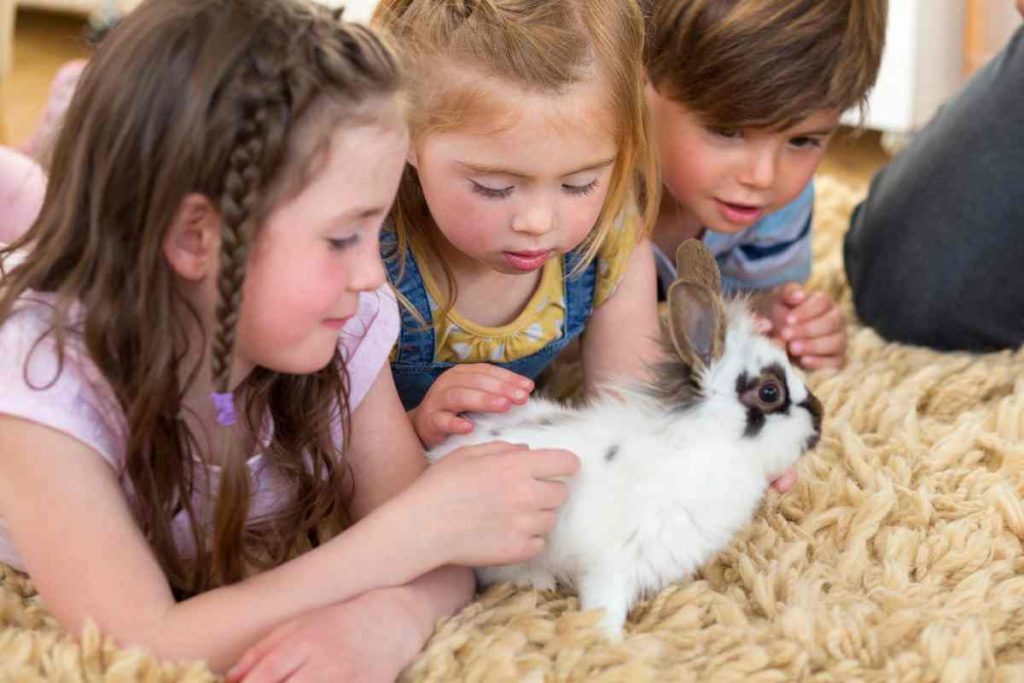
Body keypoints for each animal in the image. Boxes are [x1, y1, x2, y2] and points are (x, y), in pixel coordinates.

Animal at [427, 239, 824, 639]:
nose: (820, 421)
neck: (707, 439)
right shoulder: (611, 563)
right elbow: (605, 604)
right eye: (770, 392)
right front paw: (608, 641)